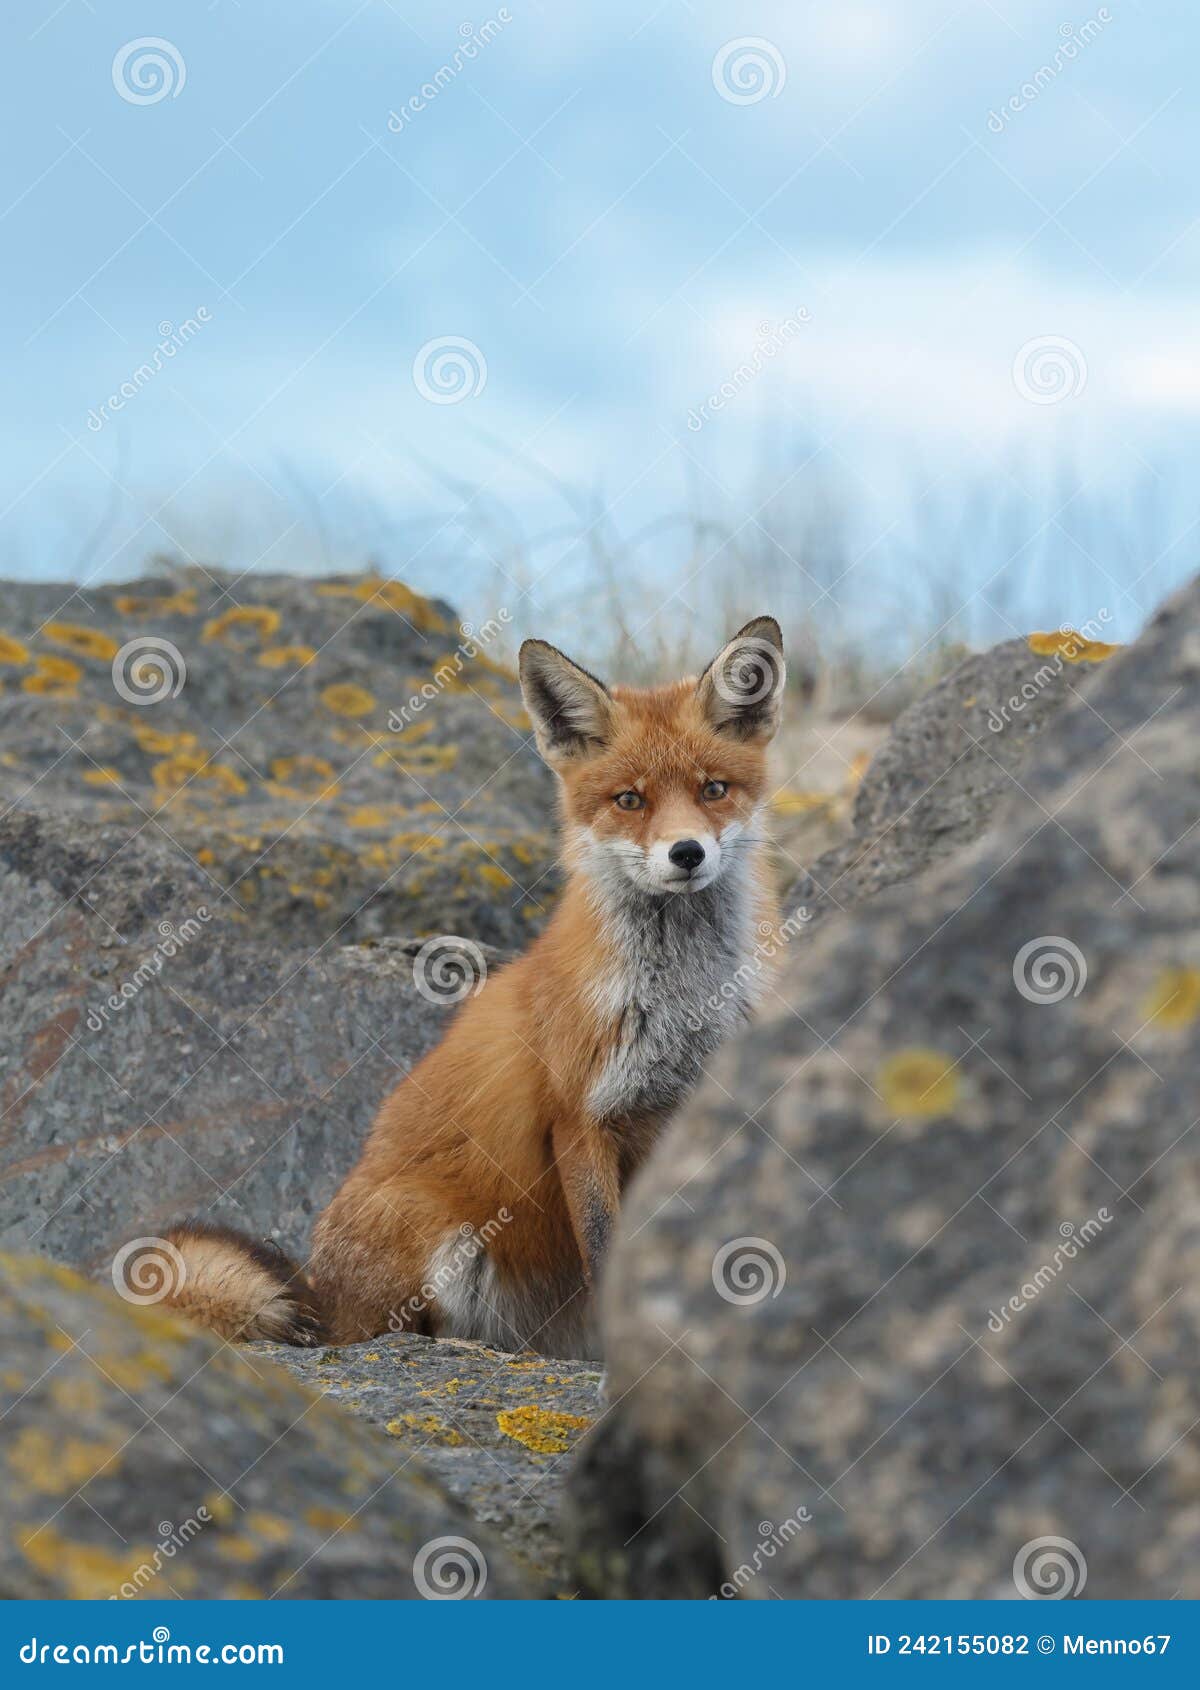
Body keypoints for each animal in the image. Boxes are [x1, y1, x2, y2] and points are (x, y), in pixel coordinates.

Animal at [145, 617, 786, 1359]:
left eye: (714, 789)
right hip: (438, 1239)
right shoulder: (580, 1119)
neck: (686, 997)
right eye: (630, 799)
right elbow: (607, 1253)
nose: (687, 853)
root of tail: (322, 1304)